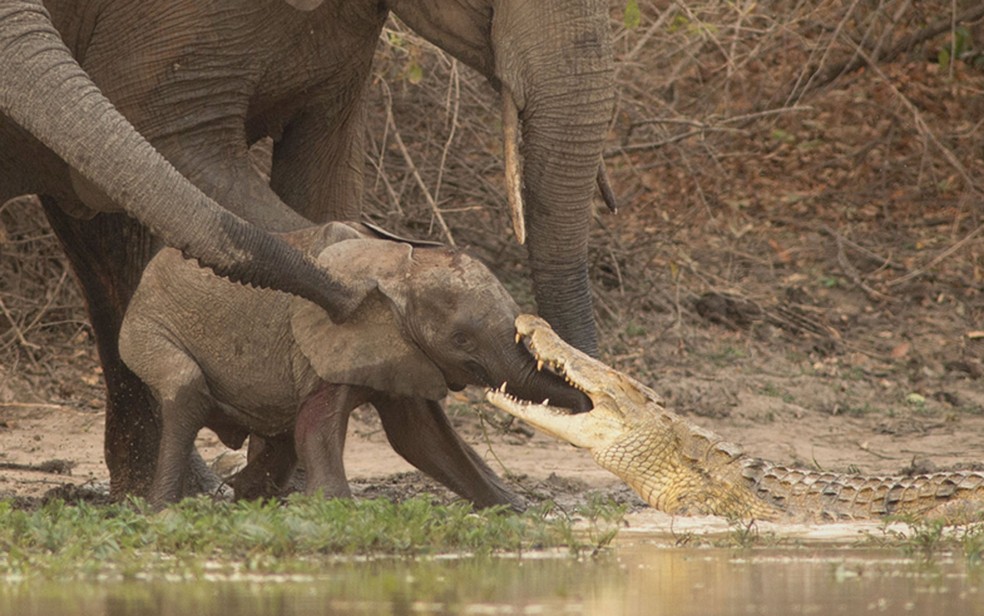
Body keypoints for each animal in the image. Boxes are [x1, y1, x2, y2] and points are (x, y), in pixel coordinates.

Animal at [118, 221, 591, 508]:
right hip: (146, 328)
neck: (401, 267)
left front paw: (519, 510)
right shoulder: (329, 343)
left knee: (278, 436)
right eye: (461, 340)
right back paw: (163, 510)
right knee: (185, 391)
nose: (590, 401)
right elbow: (317, 425)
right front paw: (336, 510)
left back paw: (246, 499)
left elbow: (424, 437)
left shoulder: (402, 351)